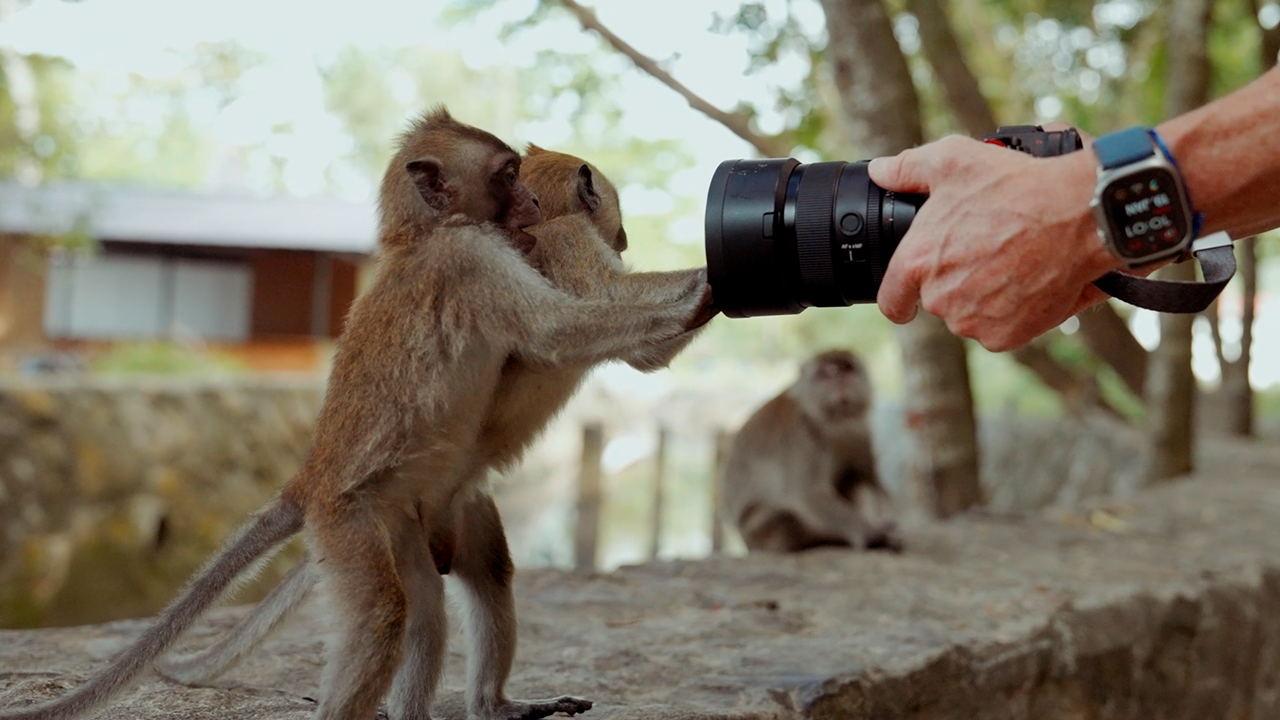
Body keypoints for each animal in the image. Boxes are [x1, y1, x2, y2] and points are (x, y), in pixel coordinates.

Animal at [0, 109, 709, 720]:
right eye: (509, 178)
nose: (624, 234)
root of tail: (312, 473)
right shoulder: (512, 251)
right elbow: (580, 333)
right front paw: (709, 285)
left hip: (430, 510)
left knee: (459, 586)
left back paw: (488, 704)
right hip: (354, 522)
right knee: (387, 612)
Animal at [720, 349, 902, 554]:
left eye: (846, 369)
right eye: (825, 375)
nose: (839, 382)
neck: (835, 425)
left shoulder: (860, 433)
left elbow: (870, 477)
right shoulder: (802, 433)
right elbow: (808, 494)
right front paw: (873, 535)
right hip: (760, 531)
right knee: (784, 514)